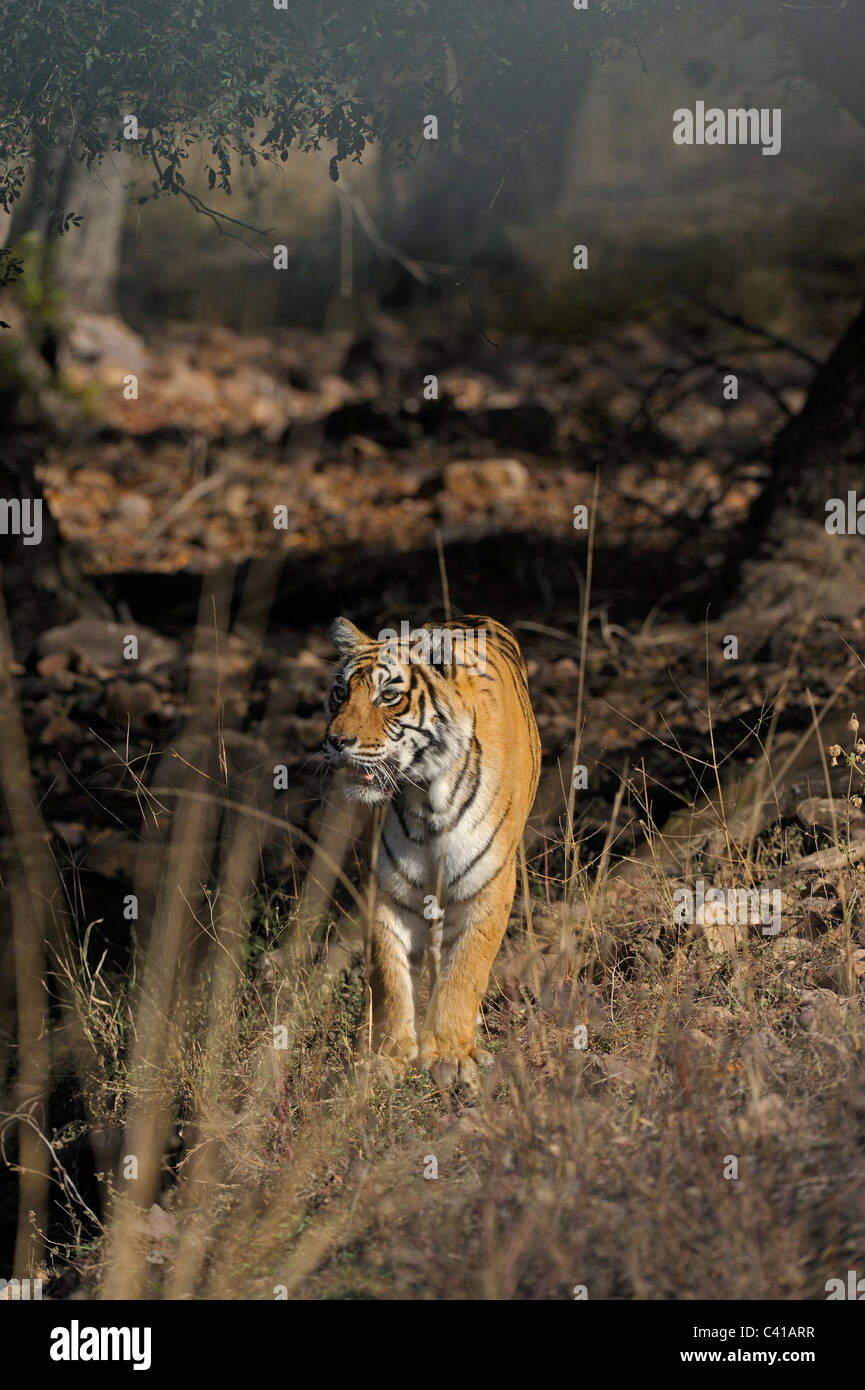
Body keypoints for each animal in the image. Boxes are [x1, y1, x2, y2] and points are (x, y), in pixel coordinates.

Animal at [324, 614, 541, 1086]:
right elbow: (390, 978)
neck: (428, 799)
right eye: (340, 693)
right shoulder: (390, 892)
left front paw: (448, 1054)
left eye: (388, 696)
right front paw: (389, 1055)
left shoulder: (488, 889)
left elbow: (465, 970)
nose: (336, 741)